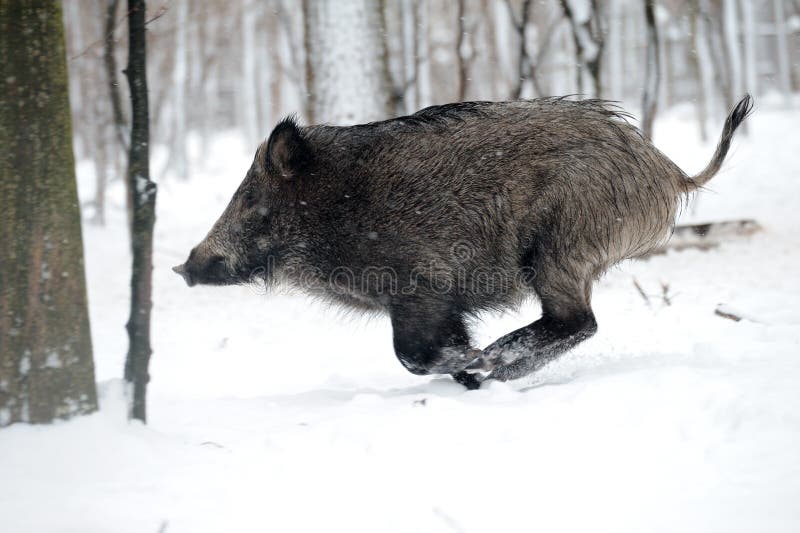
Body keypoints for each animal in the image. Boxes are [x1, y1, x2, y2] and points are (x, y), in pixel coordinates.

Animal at [174, 95, 753, 389]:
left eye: (250, 199)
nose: (184, 267)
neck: (335, 209)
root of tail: (671, 173)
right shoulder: (436, 304)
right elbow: (425, 352)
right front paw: (470, 376)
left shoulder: (420, 287)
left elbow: (412, 355)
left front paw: (475, 364)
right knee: (576, 322)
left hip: (560, 246)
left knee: (578, 321)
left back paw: (496, 361)